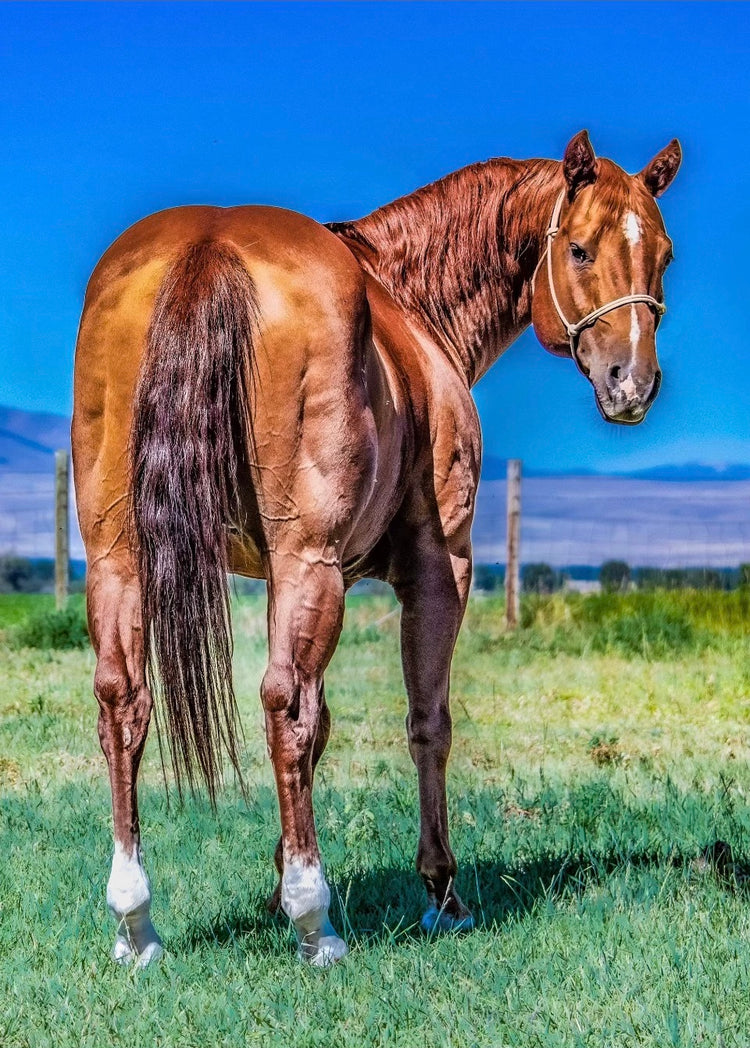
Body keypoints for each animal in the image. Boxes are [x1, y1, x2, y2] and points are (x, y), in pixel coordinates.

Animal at [72, 130, 681, 966]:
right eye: (581, 249)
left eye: (664, 254)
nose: (633, 383)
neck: (406, 300)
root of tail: (208, 245)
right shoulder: (435, 567)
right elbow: (428, 722)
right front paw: (440, 891)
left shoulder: (282, 575)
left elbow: (323, 727)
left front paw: (274, 883)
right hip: (309, 562)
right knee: (284, 706)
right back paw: (315, 921)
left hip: (120, 558)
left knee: (126, 702)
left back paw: (137, 920)